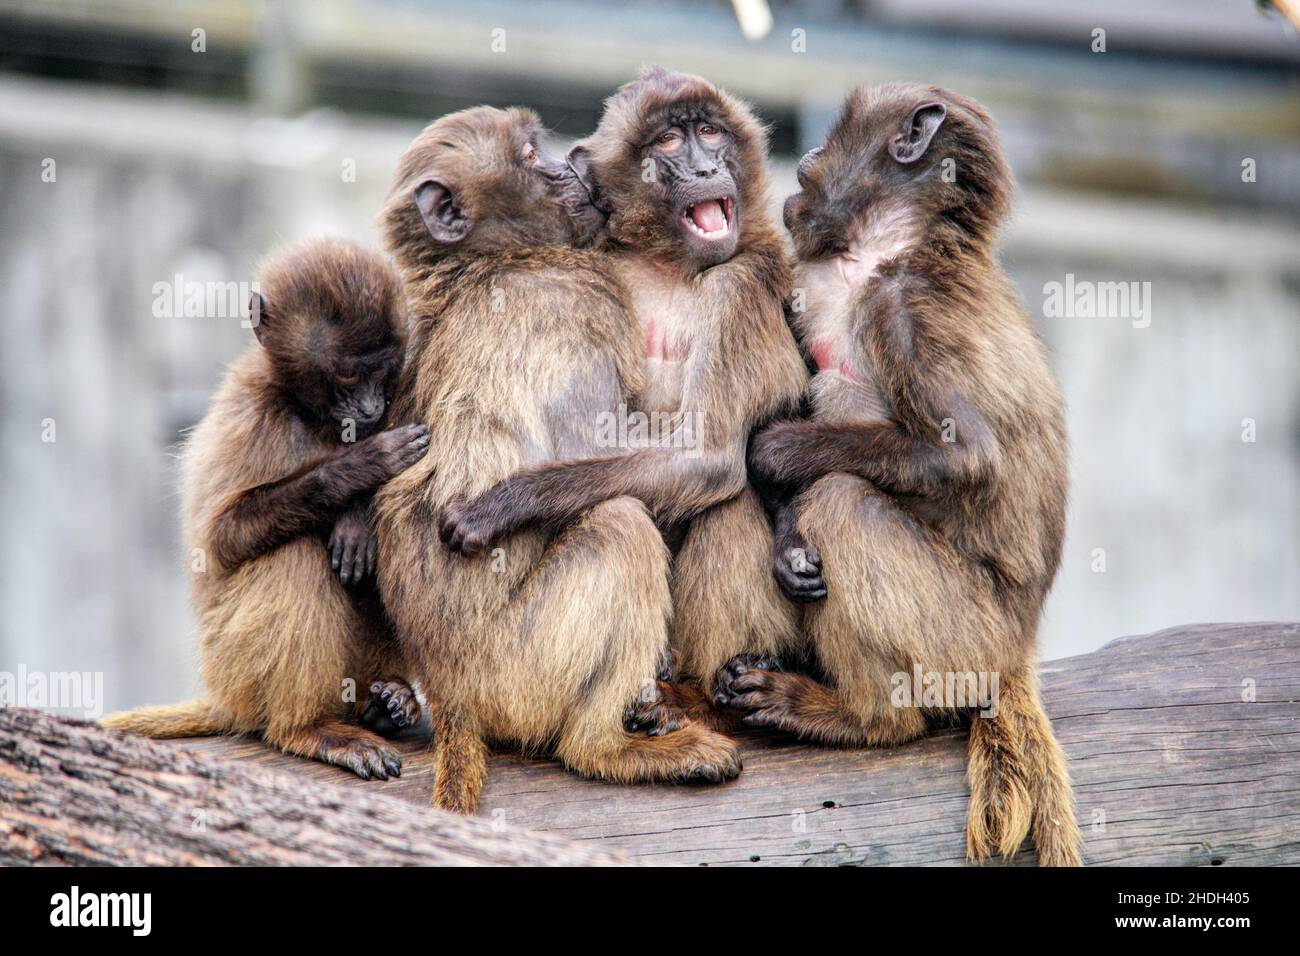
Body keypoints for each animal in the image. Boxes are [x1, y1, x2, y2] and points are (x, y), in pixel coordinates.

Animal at [102, 237, 429, 779]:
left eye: (383, 370)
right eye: (348, 374)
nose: (370, 409)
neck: (308, 412)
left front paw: (358, 514)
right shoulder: (252, 414)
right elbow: (222, 537)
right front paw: (360, 471)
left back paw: (384, 703)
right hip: (233, 665)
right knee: (292, 555)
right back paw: (306, 728)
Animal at [373, 105, 743, 814]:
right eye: (527, 156)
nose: (567, 168)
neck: (485, 263)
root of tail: (454, 694)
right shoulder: (572, 299)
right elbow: (617, 451)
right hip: (519, 671)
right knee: (621, 525)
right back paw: (605, 748)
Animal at [435, 68, 810, 719]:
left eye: (711, 132)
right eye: (669, 141)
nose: (706, 169)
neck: (669, 265)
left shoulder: (740, 287)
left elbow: (709, 458)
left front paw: (505, 502)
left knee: (724, 493)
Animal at [710, 84, 1081, 866]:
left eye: (837, 130)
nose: (808, 153)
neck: (890, 246)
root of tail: (1018, 654)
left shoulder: (902, 306)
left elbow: (961, 456)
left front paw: (772, 457)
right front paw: (788, 548)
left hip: (965, 638)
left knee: (845, 498)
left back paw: (864, 720)